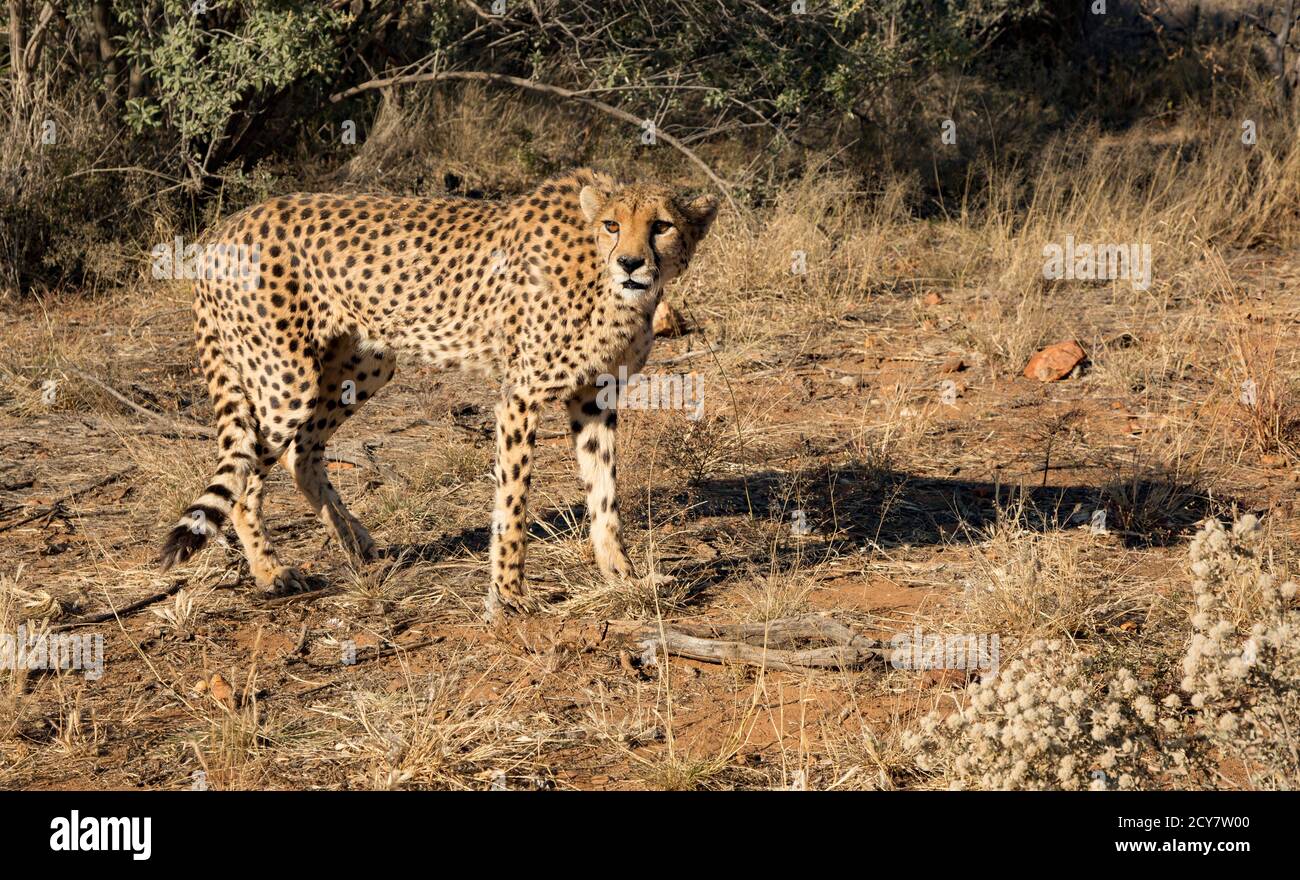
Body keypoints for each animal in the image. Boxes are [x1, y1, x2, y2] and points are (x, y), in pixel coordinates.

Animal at [158, 168, 717, 620]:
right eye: (612, 225)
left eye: (661, 225)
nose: (631, 263)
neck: (603, 281)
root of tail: (225, 229)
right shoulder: (519, 396)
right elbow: (513, 500)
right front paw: (509, 594)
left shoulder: (595, 395)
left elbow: (604, 494)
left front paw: (622, 575)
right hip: (285, 379)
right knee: (248, 475)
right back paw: (272, 573)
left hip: (366, 363)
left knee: (303, 453)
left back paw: (358, 543)